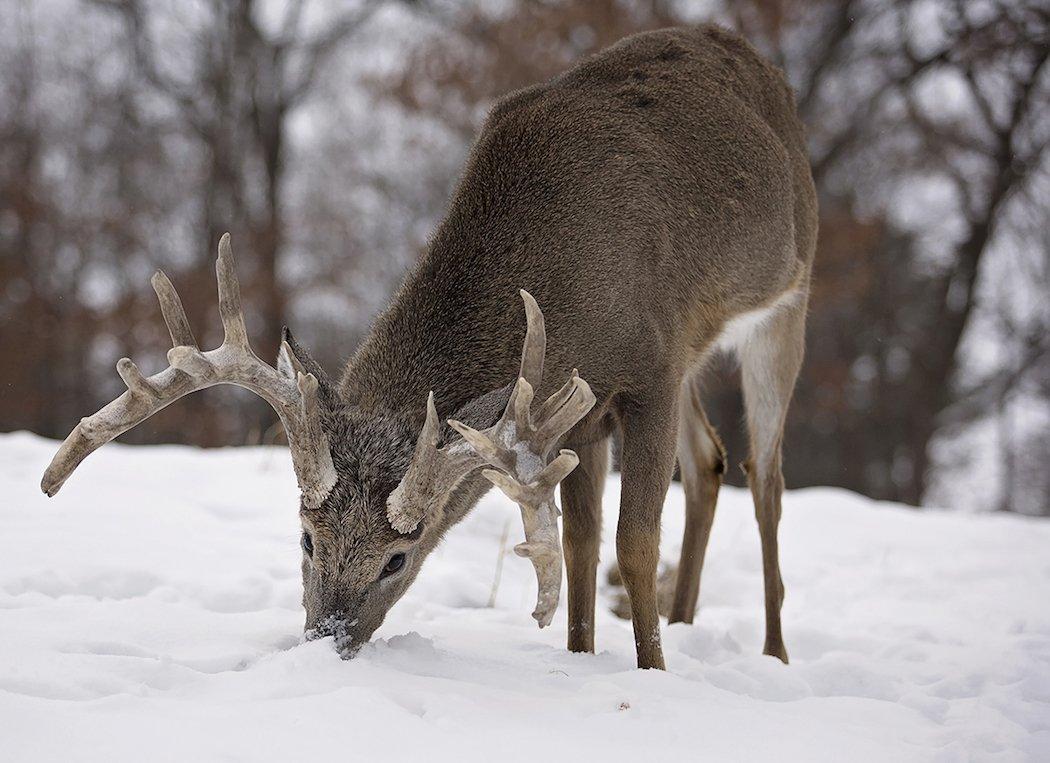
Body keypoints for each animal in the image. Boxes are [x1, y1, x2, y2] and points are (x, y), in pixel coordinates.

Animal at [40, 25, 815, 670]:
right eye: (306, 538)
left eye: (399, 557)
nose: (325, 646)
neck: (566, 273)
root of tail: (758, 64)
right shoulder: (573, 414)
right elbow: (579, 543)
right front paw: (581, 660)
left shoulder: (650, 367)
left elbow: (633, 541)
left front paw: (651, 673)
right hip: (698, 359)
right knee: (710, 463)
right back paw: (689, 622)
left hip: (788, 299)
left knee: (767, 478)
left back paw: (774, 652)